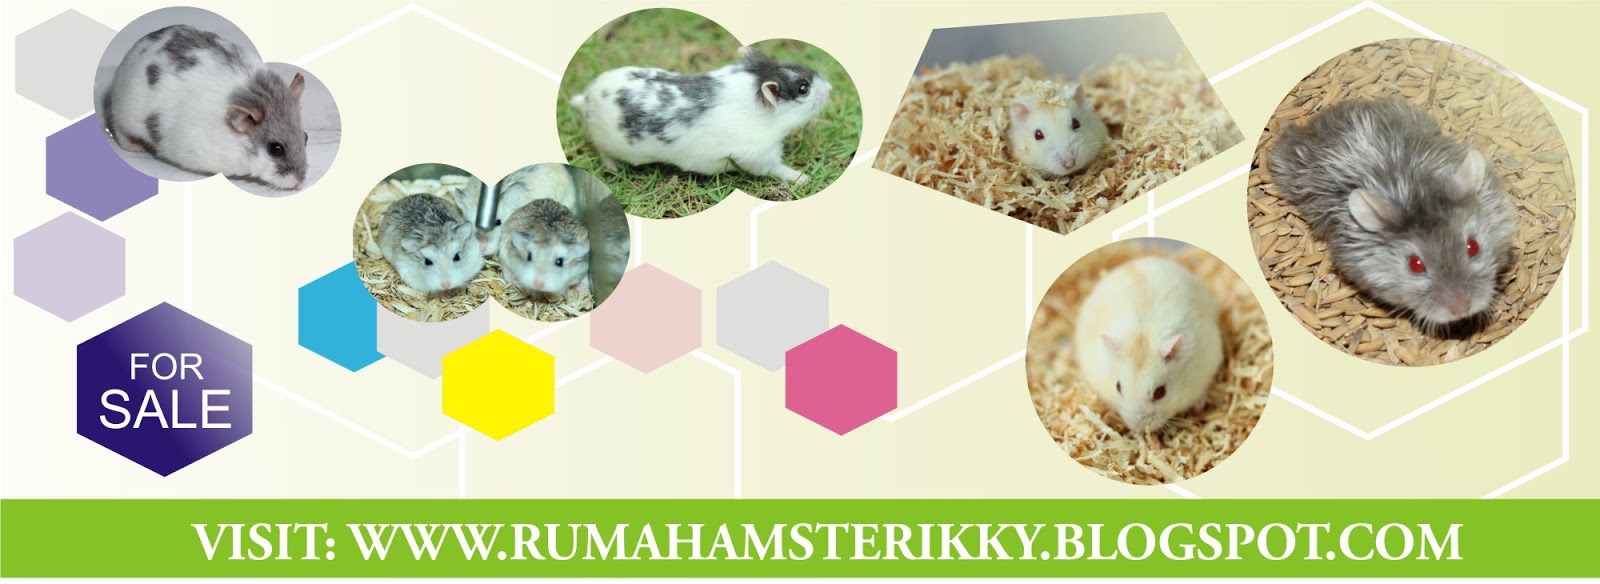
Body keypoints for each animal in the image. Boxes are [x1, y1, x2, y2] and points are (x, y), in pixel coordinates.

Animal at [101, 25, 309, 191]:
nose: (300, 184)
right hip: (126, 112)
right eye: (276, 149)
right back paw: (135, 147)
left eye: (305, 137)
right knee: (119, 129)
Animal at [569, 46, 831, 184]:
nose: (830, 88)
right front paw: (804, 178)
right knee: (603, 153)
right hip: (606, 143)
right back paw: (614, 168)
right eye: (803, 88)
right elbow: (778, 168)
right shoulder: (759, 158)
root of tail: (587, 97)